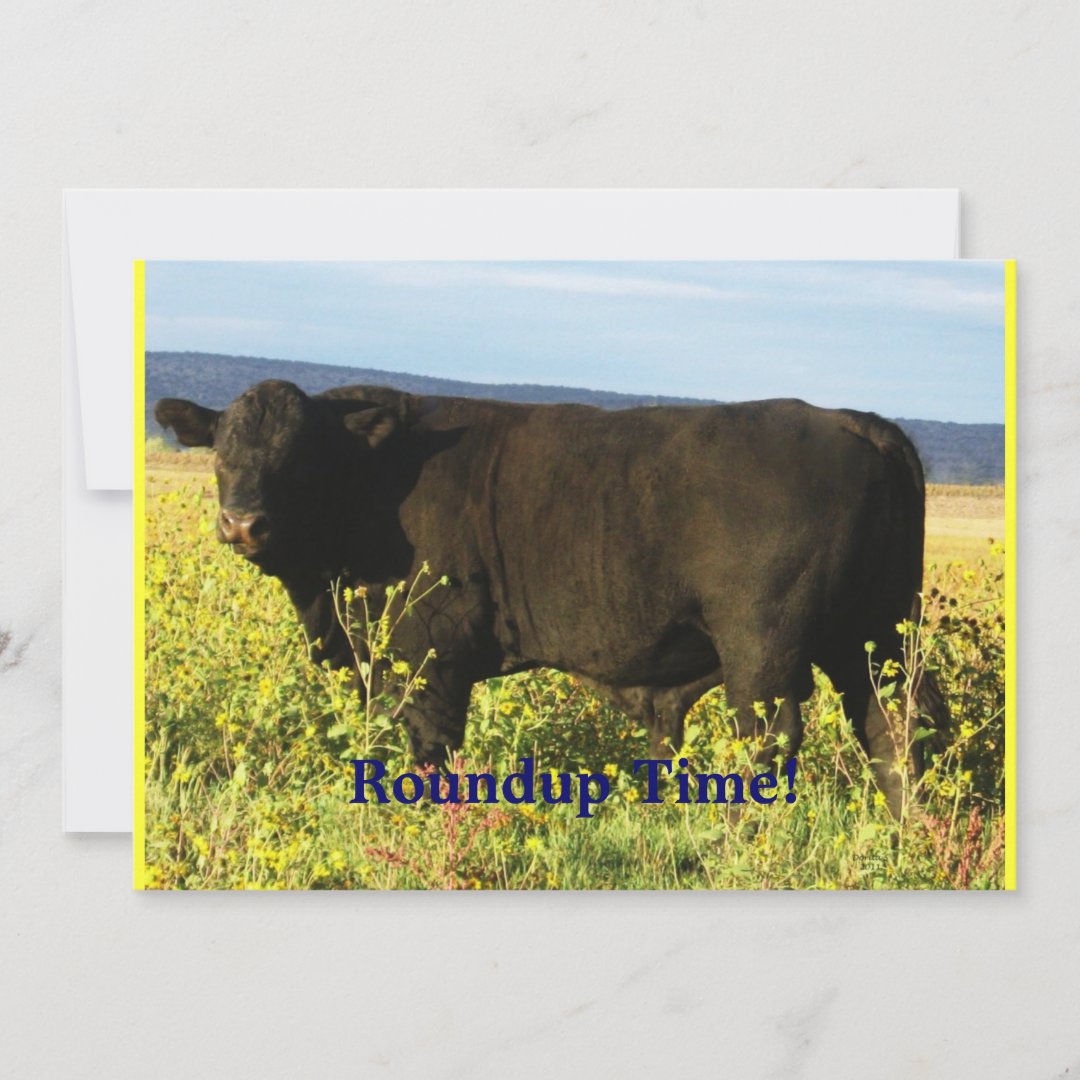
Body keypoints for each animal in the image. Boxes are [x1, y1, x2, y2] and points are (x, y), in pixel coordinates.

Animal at [155, 379, 947, 814]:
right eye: (222, 449)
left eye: (301, 457)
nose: (242, 523)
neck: (373, 472)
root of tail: (844, 420)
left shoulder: (428, 663)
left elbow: (428, 753)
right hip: (874, 635)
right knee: (897, 726)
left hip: (766, 652)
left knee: (770, 741)